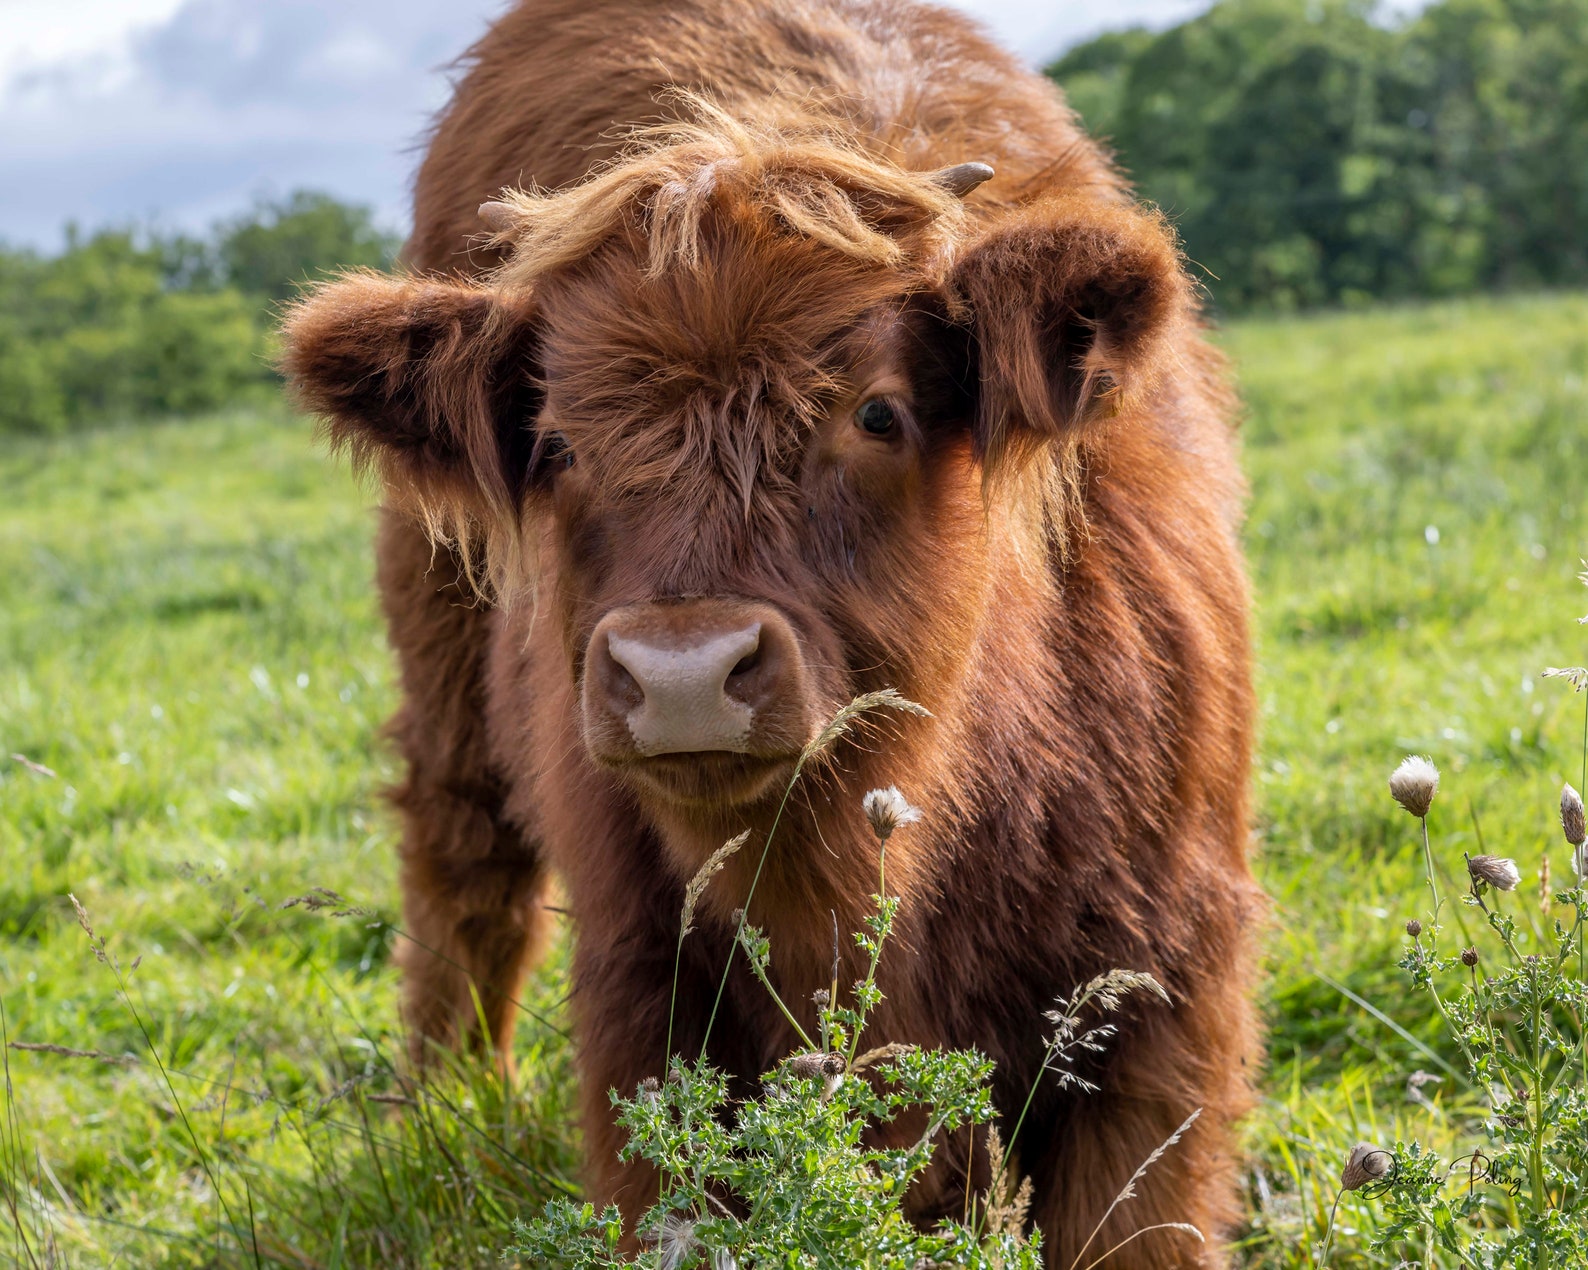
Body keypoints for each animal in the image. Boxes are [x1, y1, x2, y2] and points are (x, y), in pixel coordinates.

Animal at [281, 1, 1263, 1264]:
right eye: (556, 443)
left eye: (878, 411)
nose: (683, 673)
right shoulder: (645, 1002)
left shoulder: (1160, 984)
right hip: (443, 655)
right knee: (464, 867)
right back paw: (444, 1106)